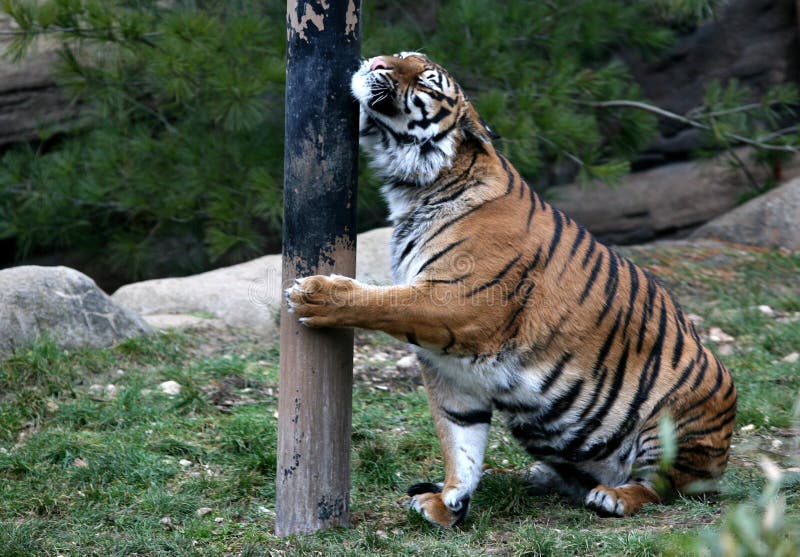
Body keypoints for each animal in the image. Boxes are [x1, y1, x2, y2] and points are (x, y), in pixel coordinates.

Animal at [286, 52, 736, 527]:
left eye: (425, 81)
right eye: (404, 57)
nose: (375, 62)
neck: (418, 187)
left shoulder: (458, 302)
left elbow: (388, 304)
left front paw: (314, 294)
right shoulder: (450, 369)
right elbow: (460, 441)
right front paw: (448, 502)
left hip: (675, 421)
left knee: (662, 486)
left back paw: (614, 497)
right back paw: (543, 476)